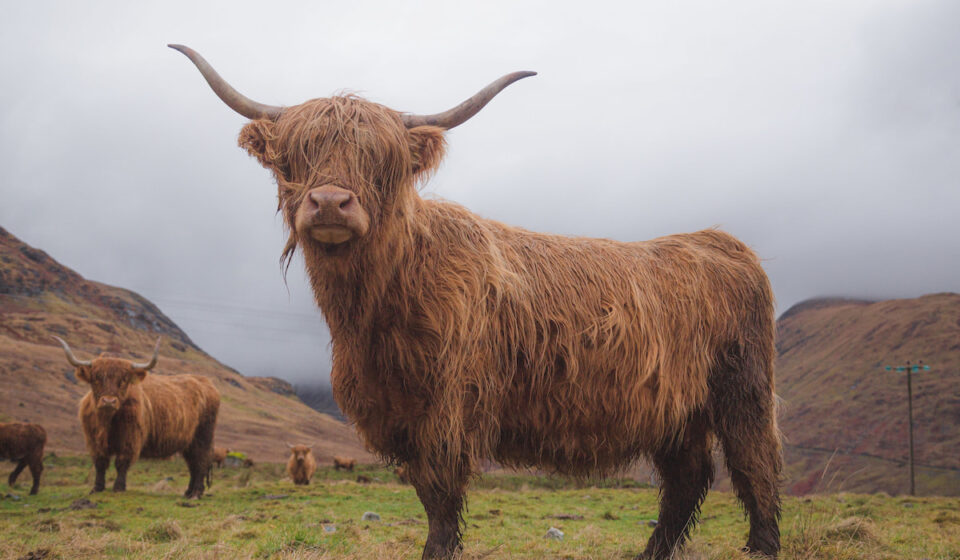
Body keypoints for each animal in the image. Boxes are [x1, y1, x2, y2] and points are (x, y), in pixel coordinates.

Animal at [54, 336, 221, 498]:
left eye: (123, 380)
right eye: (96, 378)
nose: (109, 401)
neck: (107, 421)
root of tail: (207, 383)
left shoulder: (130, 438)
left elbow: (121, 462)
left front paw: (118, 488)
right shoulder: (94, 441)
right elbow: (100, 463)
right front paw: (97, 488)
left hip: (203, 436)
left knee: (201, 461)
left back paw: (196, 493)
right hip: (188, 442)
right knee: (192, 464)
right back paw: (188, 492)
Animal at [171, 44, 782, 559]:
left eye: (383, 162)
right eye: (293, 158)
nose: (329, 203)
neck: (374, 310)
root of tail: (719, 240)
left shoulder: (447, 403)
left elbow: (440, 497)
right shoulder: (399, 409)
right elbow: (427, 493)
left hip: (743, 388)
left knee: (756, 467)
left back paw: (761, 548)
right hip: (677, 412)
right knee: (687, 479)